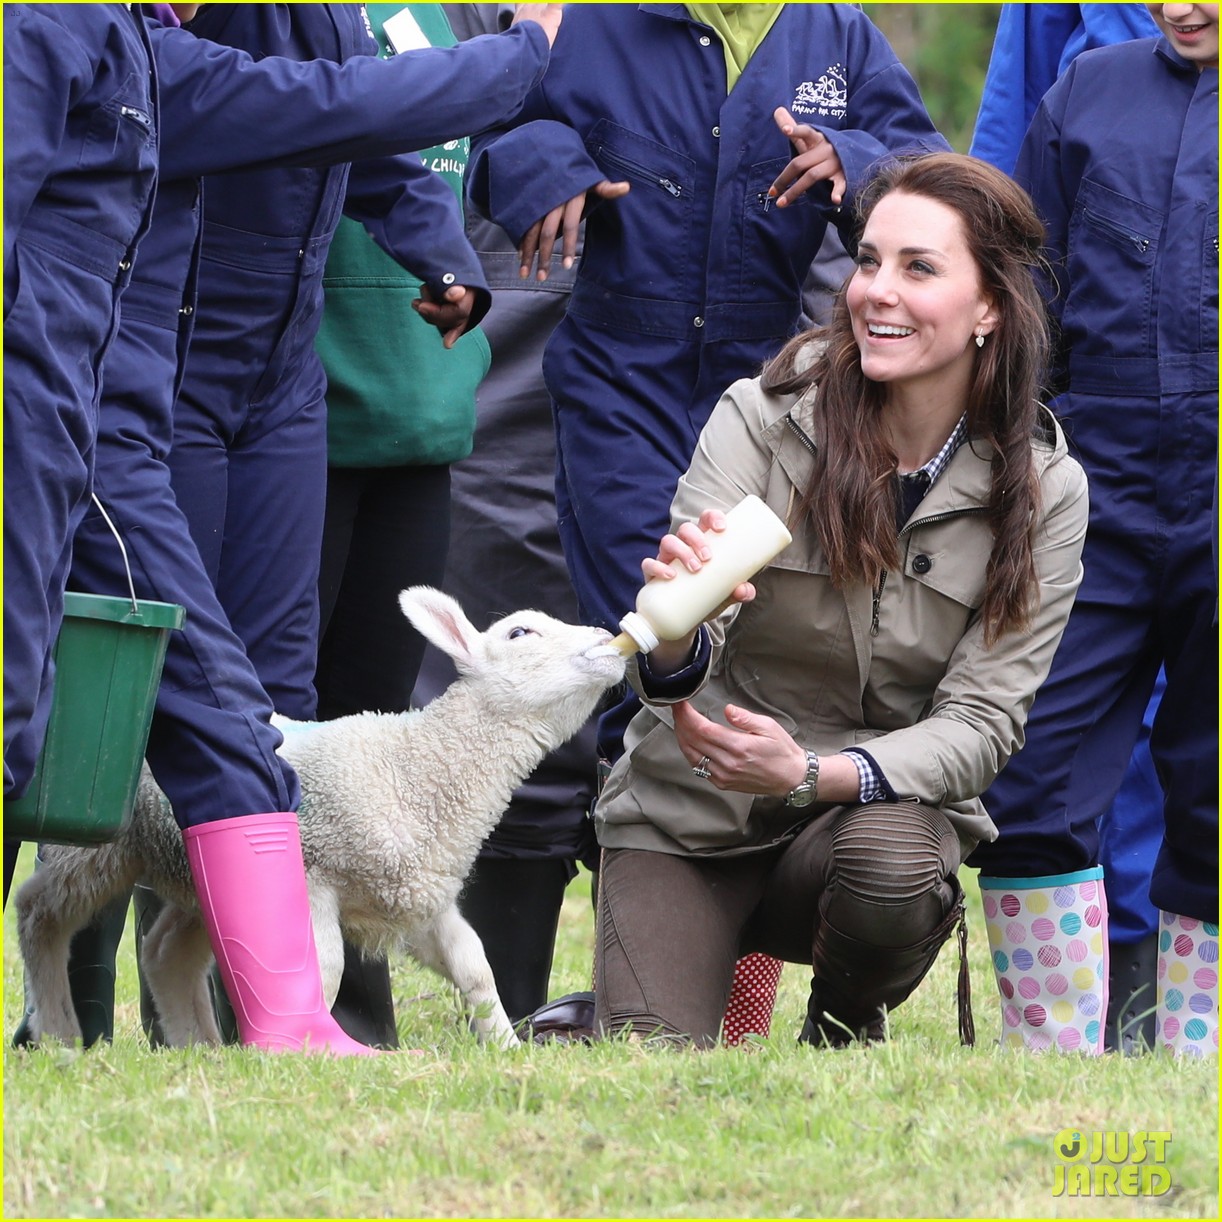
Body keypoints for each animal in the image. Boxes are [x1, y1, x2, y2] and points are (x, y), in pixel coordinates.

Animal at [15, 586, 627, 1050]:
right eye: (520, 633)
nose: (609, 641)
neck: (417, 766)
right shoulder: (315, 876)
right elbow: (324, 968)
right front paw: (314, 1045)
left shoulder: (421, 896)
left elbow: (475, 966)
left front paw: (506, 1047)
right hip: (98, 843)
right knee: (38, 911)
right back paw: (59, 1033)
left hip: (189, 856)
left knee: (165, 951)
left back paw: (200, 1047)